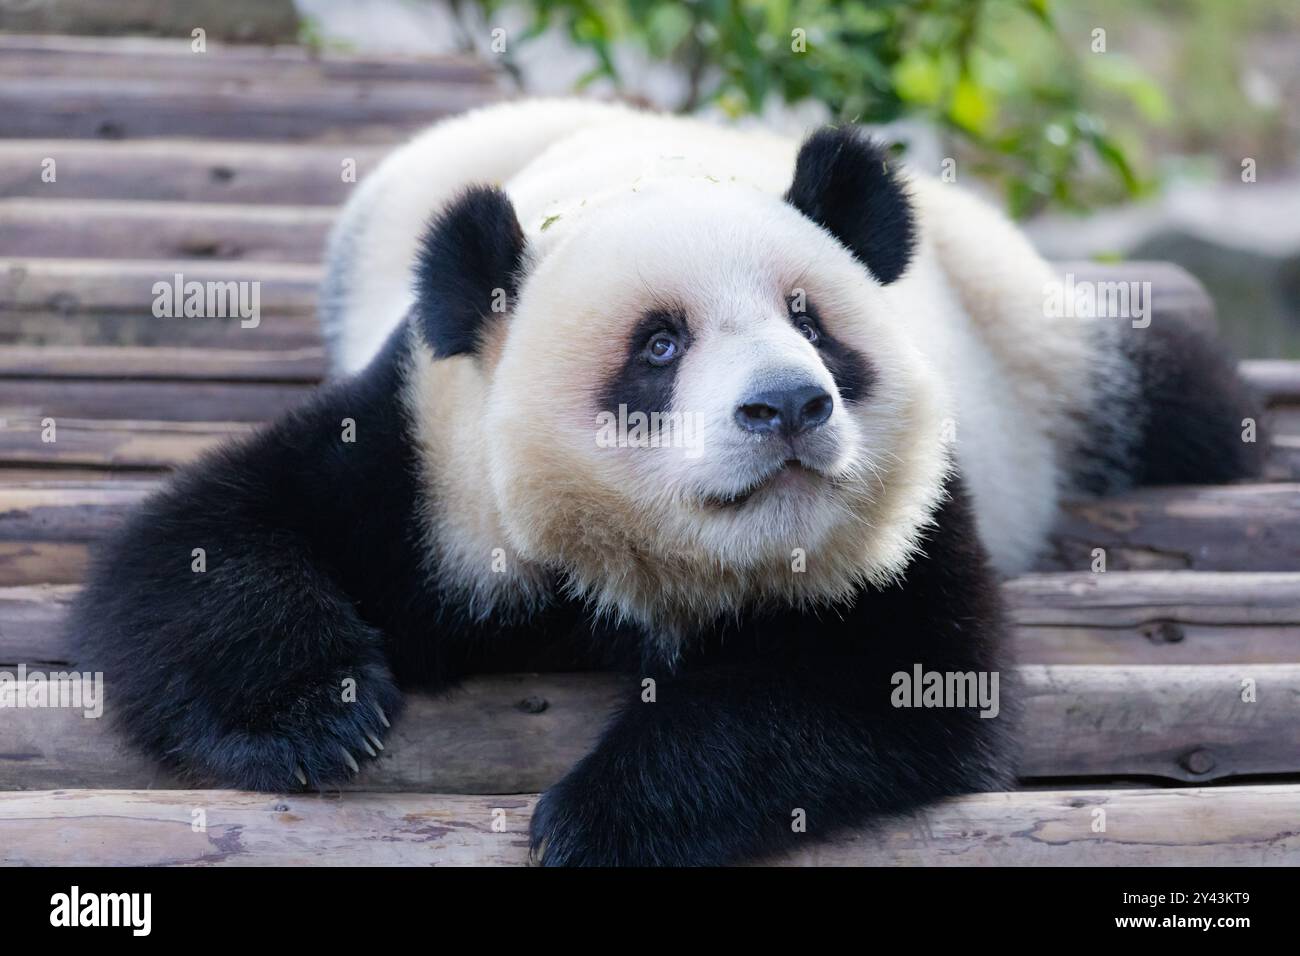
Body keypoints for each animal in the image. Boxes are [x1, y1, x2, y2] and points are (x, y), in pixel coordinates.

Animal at [72, 99, 1264, 866]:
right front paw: (320, 715)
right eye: (658, 345)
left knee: (1177, 395)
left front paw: (600, 818)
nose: (789, 407)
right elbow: (205, 543)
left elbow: (887, 678)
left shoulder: (911, 514)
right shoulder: (430, 450)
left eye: (810, 323)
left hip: (1038, 341)